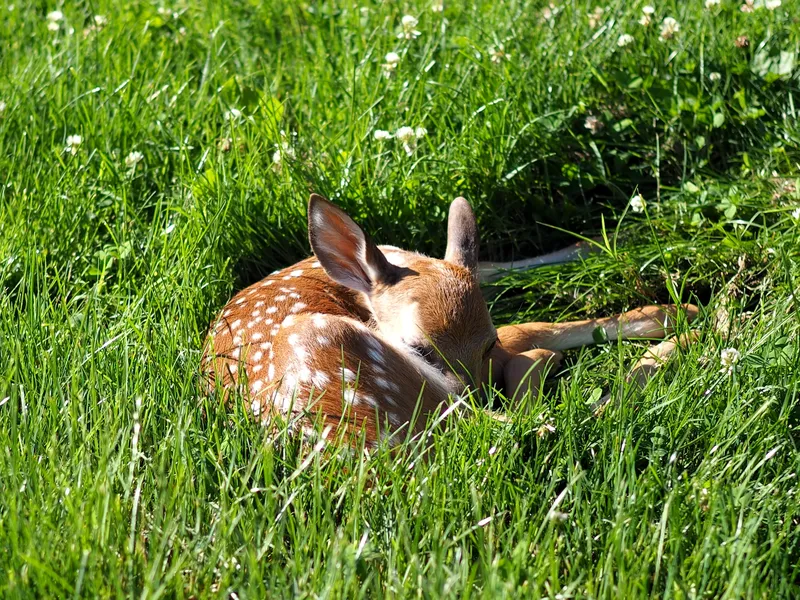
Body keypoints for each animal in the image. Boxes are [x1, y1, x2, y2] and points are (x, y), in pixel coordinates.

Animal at [201, 195, 698, 447]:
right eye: (420, 346)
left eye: (485, 342)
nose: (480, 392)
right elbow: (533, 327)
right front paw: (672, 313)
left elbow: (501, 268)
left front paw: (618, 241)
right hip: (357, 352)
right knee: (540, 408)